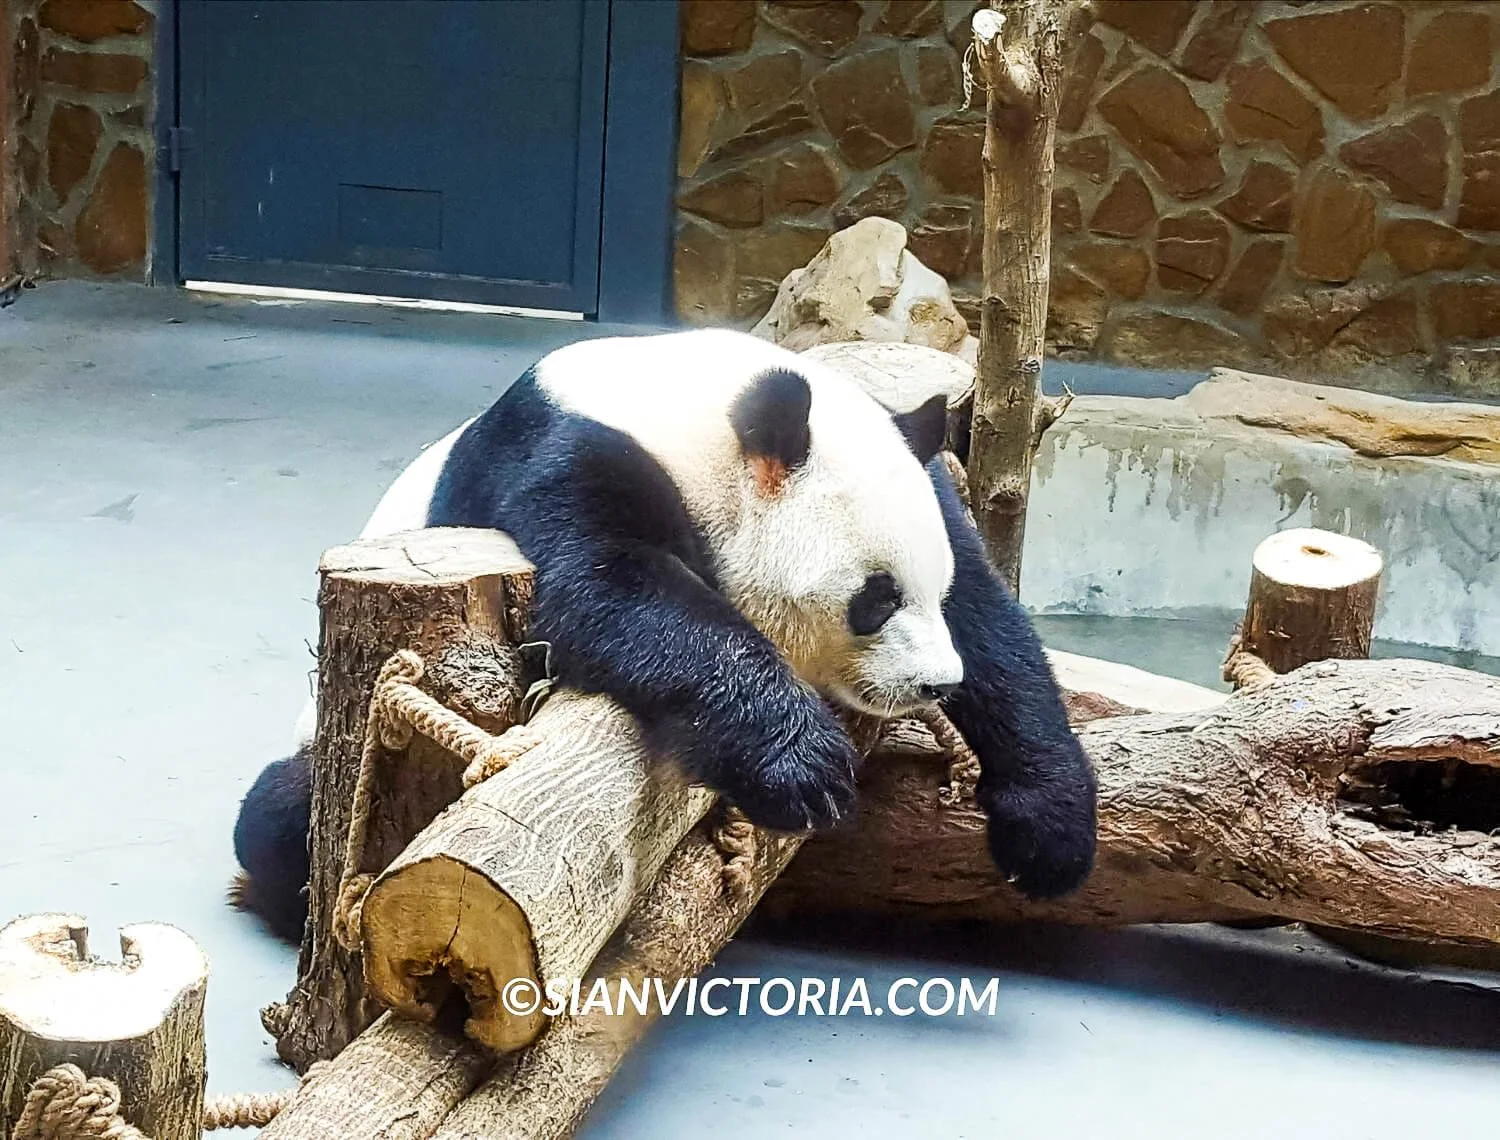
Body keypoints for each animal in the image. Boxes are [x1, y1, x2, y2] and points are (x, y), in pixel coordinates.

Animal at [232, 328, 1097, 942]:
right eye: (874, 600)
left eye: (926, 590)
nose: (935, 684)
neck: (703, 423)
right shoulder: (567, 456)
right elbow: (607, 586)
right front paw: (805, 766)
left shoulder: (927, 494)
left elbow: (992, 620)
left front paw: (1050, 830)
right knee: (278, 816)